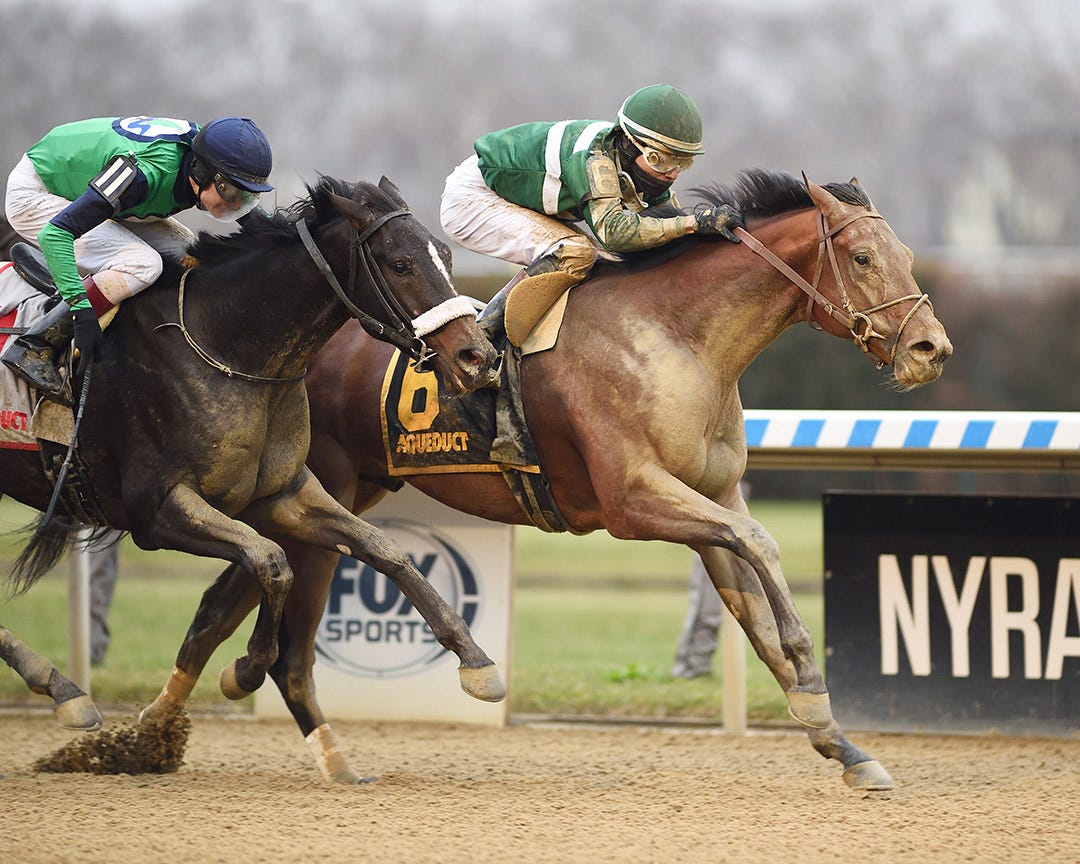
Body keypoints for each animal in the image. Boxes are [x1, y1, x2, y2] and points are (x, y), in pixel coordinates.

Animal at [0, 176, 505, 755]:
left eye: (445, 253)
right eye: (400, 263)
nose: (478, 357)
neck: (227, 345)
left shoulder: (283, 494)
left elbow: (385, 549)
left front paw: (475, 661)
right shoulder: (157, 511)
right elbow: (271, 561)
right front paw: (249, 664)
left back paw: (63, 689)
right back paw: (63, 689)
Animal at [143, 170, 952, 790]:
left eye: (904, 253)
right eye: (862, 257)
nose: (931, 348)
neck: (677, 338)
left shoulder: (709, 499)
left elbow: (749, 600)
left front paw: (844, 747)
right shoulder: (634, 501)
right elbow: (762, 544)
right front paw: (815, 690)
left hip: (322, 494)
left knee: (224, 600)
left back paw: (169, 719)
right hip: (326, 493)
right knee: (289, 638)